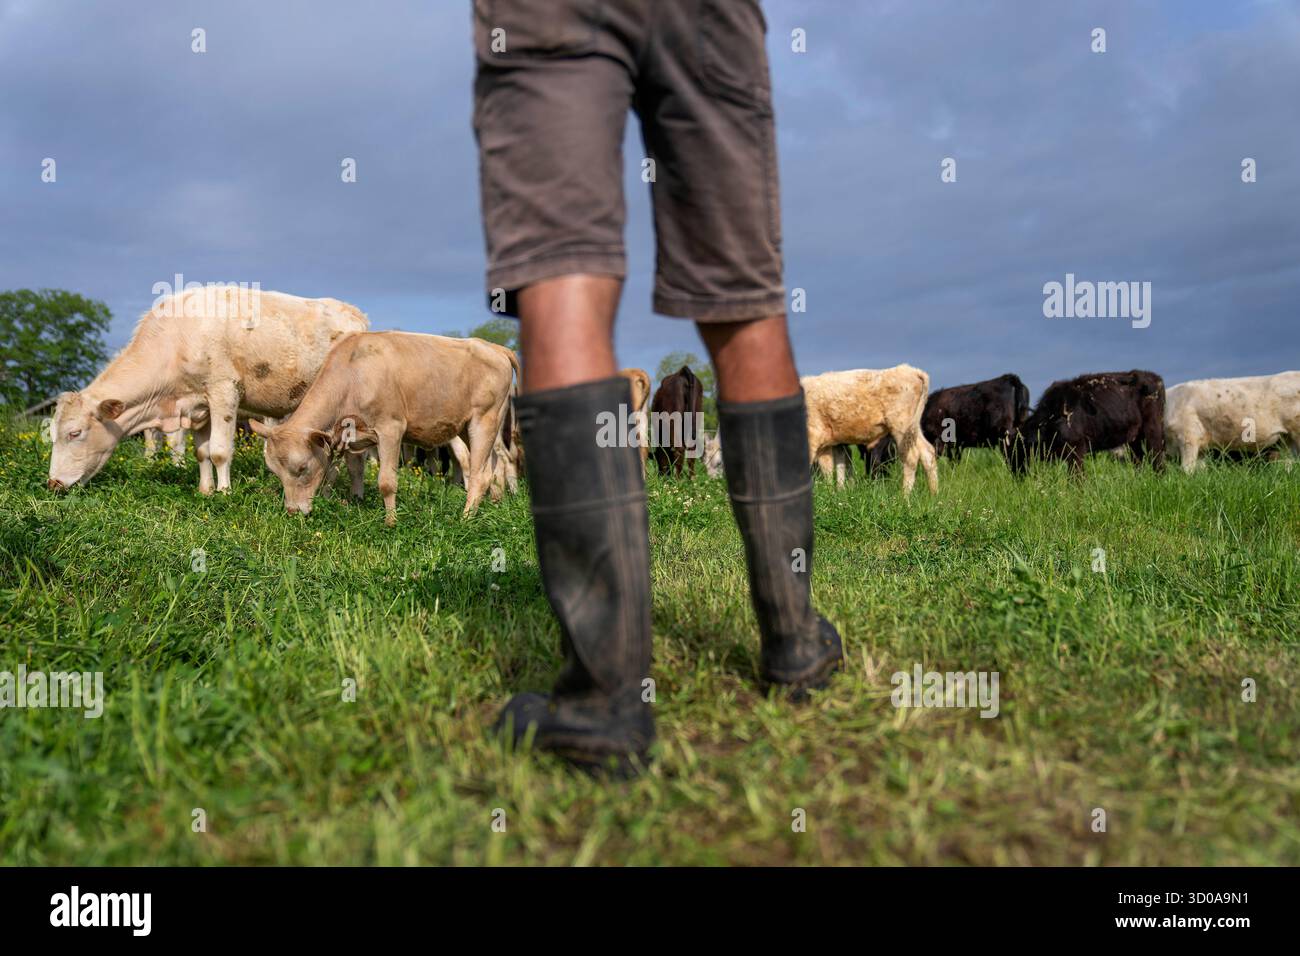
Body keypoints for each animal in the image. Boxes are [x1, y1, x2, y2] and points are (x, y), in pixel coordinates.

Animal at [47, 287, 368, 494]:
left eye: (74, 433)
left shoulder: (224, 391)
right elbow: (201, 452)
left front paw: (225, 493)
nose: (53, 483)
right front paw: (205, 490)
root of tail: (355, 314)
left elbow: (219, 451)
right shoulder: (198, 405)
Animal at [251, 332, 518, 524]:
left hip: (484, 420)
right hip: (471, 427)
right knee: (495, 466)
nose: (292, 512)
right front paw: (351, 500)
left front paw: (390, 522)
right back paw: (495, 503)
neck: (353, 374)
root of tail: (495, 348)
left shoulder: (391, 428)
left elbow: (386, 481)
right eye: (275, 471)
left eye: (302, 468)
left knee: (480, 474)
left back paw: (466, 519)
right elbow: (344, 470)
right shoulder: (347, 436)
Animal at [802, 365, 938, 495]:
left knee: (911, 457)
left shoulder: (812, 436)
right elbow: (829, 468)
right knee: (927, 453)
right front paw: (832, 493)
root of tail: (911, 370)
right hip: (913, 428)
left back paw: (904, 497)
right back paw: (933, 495)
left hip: (901, 425)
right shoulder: (826, 443)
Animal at [1009, 370, 1165, 476]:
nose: (1015, 473)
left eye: (1020, 448)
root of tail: (1155, 378)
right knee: (1139, 460)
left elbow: (1076, 476)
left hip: (1152, 431)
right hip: (1134, 439)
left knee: (1157, 458)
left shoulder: (1076, 450)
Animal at [1164, 372, 1299, 473]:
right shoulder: (1201, 446)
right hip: (1286, 440)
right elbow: (1201, 469)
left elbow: (1186, 469)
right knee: (1288, 462)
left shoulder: (1189, 436)